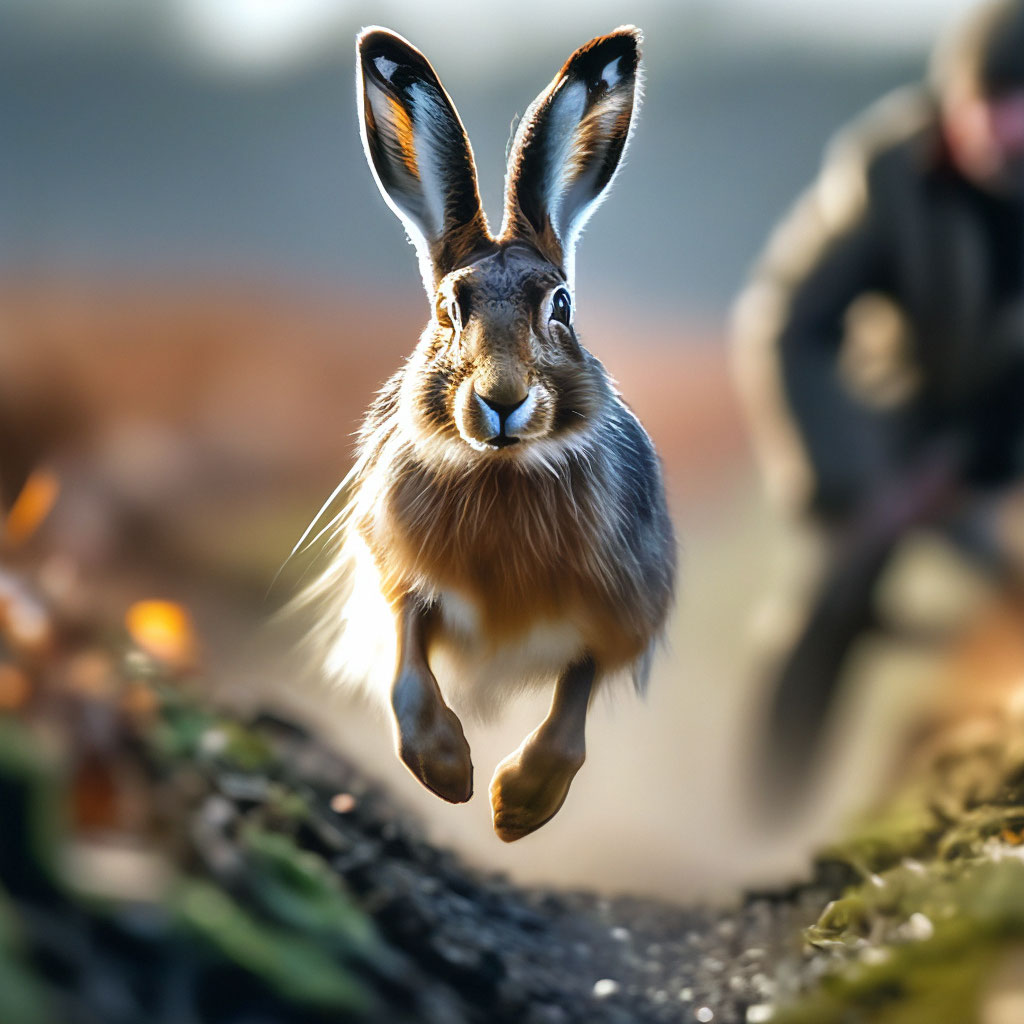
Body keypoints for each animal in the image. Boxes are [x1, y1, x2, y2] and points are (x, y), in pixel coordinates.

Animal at [300, 25, 676, 842]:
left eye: (561, 305)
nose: (501, 400)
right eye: (449, 309)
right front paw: (449, 774)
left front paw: (515, 808)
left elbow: (572, 707)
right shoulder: (395, 577)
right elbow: (408, 672)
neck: (503, 471)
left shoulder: (619, 607)